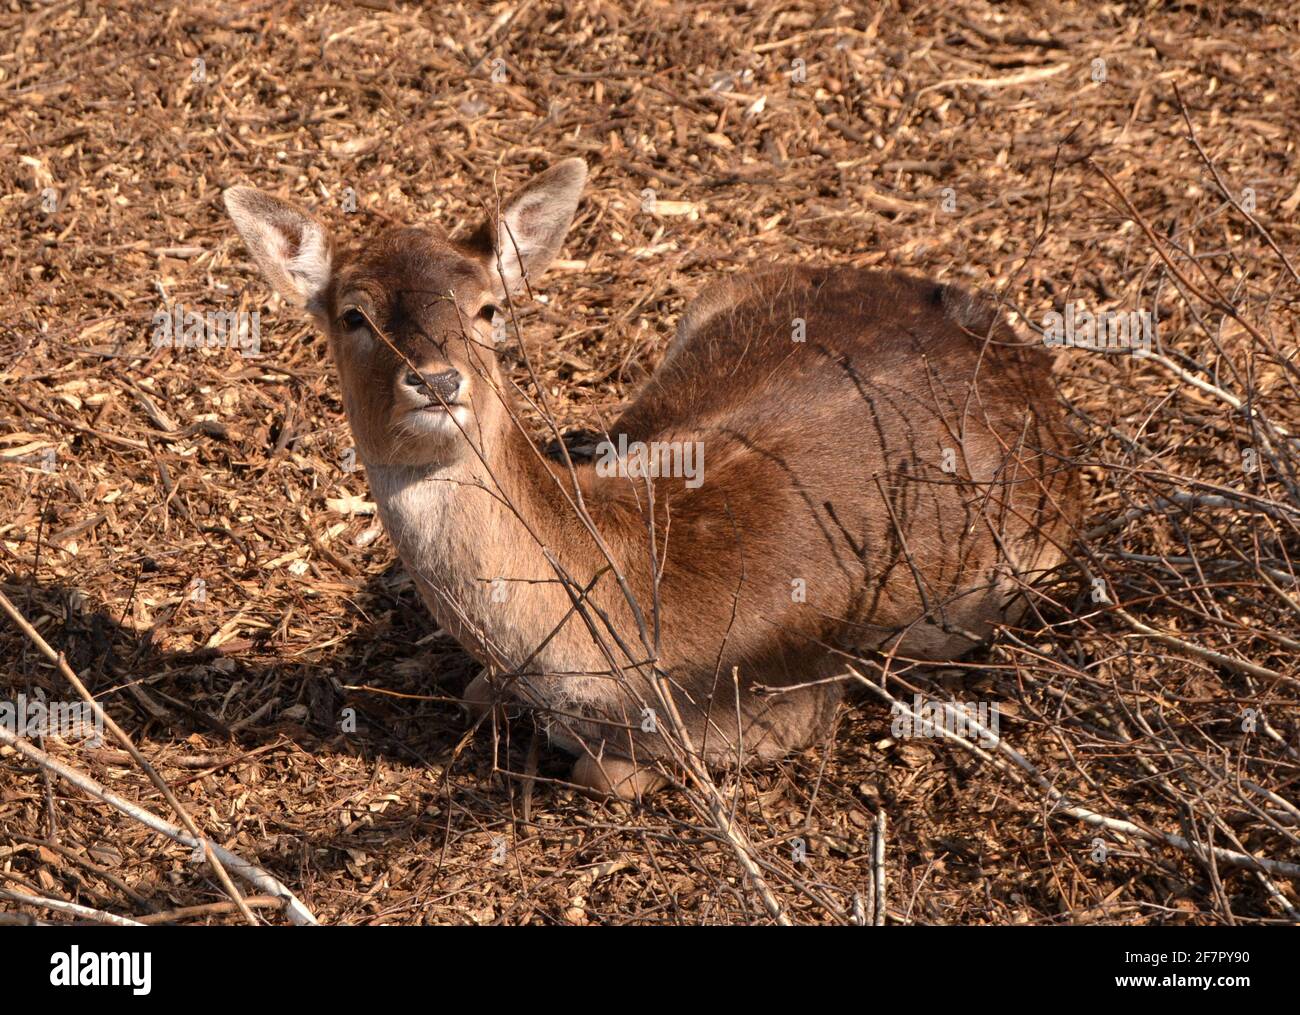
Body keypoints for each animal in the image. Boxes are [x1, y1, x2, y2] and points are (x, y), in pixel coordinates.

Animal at [224, 158, 1079, 799]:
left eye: (489, 308)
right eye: (353, 314)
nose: (436, 381)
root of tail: (1013, 343)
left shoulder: (781, 702)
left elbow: (605, 772)